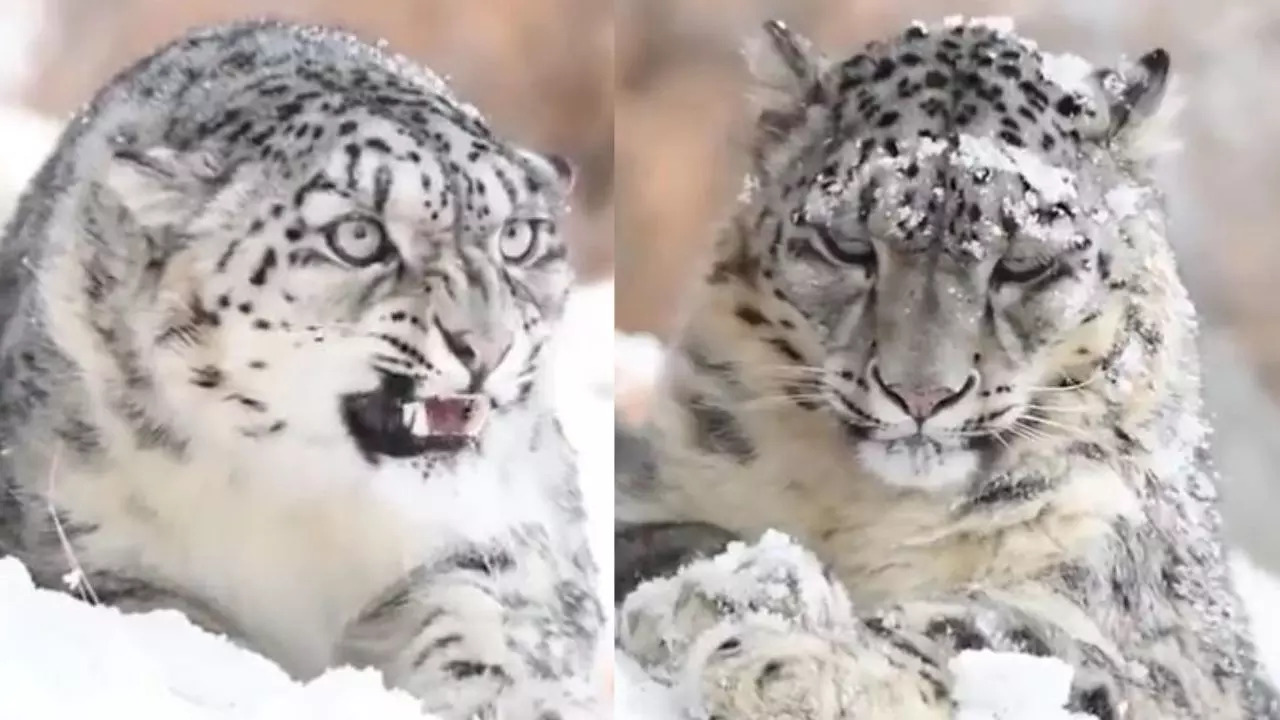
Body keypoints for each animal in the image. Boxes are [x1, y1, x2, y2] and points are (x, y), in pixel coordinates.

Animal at [0, 19, 603, 720]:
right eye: (358, 237)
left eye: (517, 238)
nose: (488, 345)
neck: (306, 506)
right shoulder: (86, 551)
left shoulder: (514, 534)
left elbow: (490, 625)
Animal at [615, 16, 1279, 719]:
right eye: (847, 245)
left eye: (1024, 264)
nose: (921, 394)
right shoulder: (655, 489)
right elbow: (658, 542)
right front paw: (736, 585)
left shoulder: (1155, 645)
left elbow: (1001, 637)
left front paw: (786, 662)